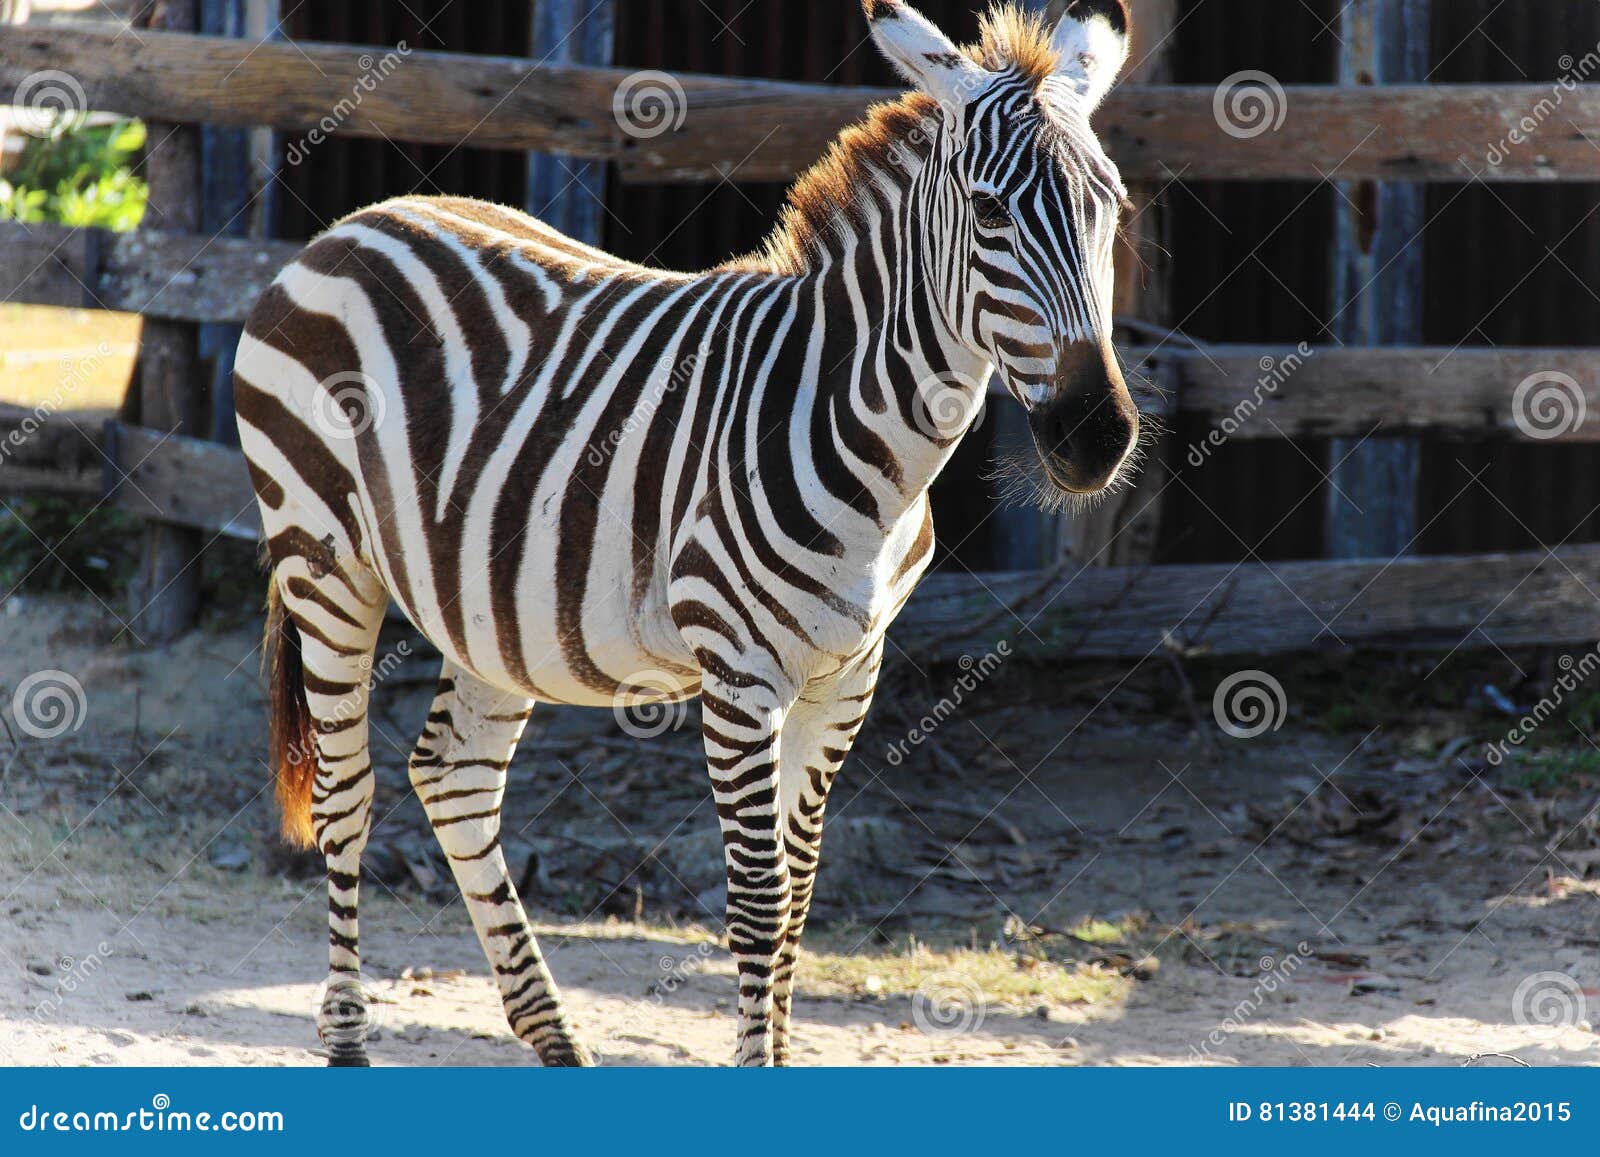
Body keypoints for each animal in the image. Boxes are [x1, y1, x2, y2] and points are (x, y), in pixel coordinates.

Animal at [234, 0, 1138, 1068]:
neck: (860, 429)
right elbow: (757, 900)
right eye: (991, 214)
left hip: (490, 607)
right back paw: (347, 1041)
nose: (1096, 436)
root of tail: (343, 230)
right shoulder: (739, 672)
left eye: (1114, 211)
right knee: (347, 791)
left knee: (452, 775)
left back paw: (555, 1039)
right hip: (325, 561)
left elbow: (799, 892)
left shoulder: (849, 675)